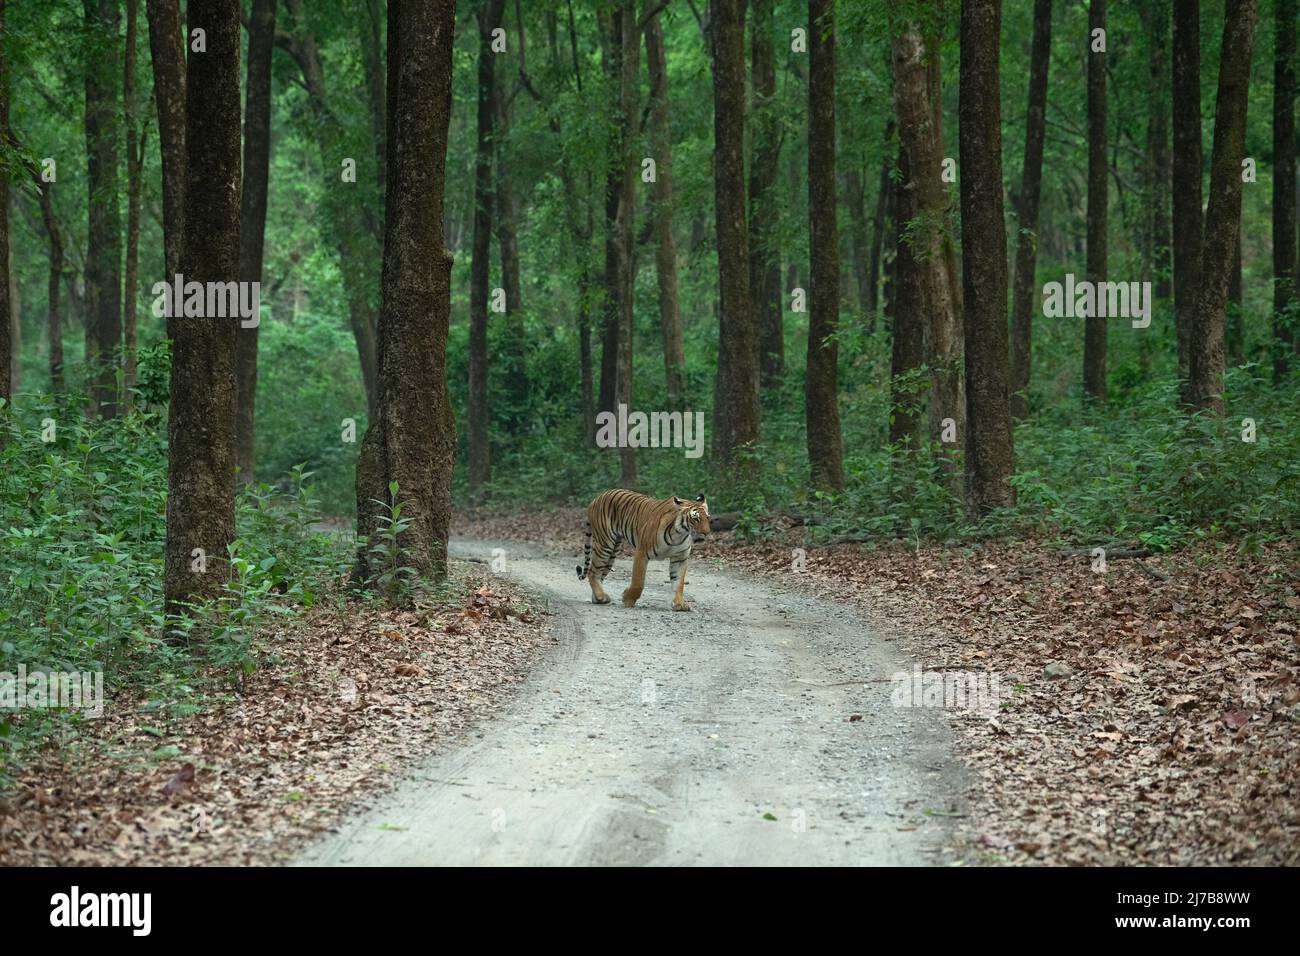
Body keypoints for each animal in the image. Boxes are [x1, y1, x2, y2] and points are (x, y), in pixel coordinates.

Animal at [575, 489, 711, 611]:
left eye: (707, 518)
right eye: (695, 519)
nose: (706, 533)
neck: (679, 533)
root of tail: (596, 498)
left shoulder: (680, 558)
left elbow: (678, 583)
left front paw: (679, 604)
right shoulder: (642, 553)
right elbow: (638, 581)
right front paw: (628, 599)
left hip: (613, 551)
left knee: (600, 574)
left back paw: (598, 598)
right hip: (605, 544)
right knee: (592, 572)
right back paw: (601, 596)